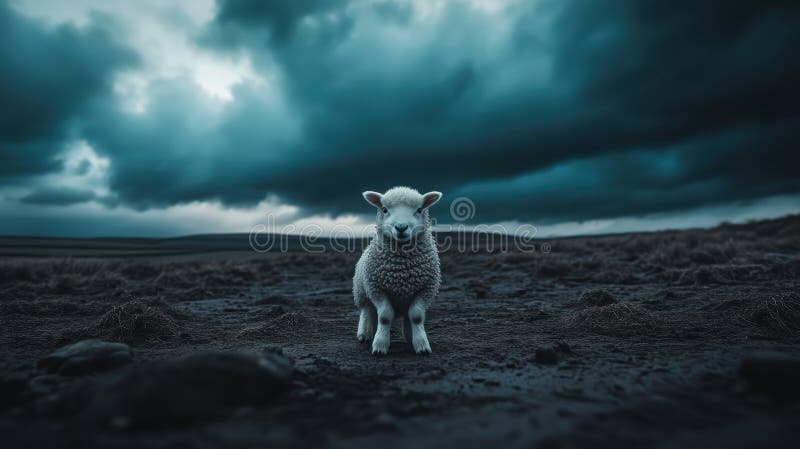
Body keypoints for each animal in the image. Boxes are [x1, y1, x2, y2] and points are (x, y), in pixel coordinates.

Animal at [353, 186, 443, 355]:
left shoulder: (426, 289)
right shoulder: (376, 288)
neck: (401, 269)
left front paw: (421, 344)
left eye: (419, 210)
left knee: (407, 316)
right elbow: (384, 317)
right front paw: (380, 345)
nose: (401, 227)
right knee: (367, 311)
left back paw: (409, 336)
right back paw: (365, 334)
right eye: (384, 209)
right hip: (362, 292)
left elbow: (416, 316)